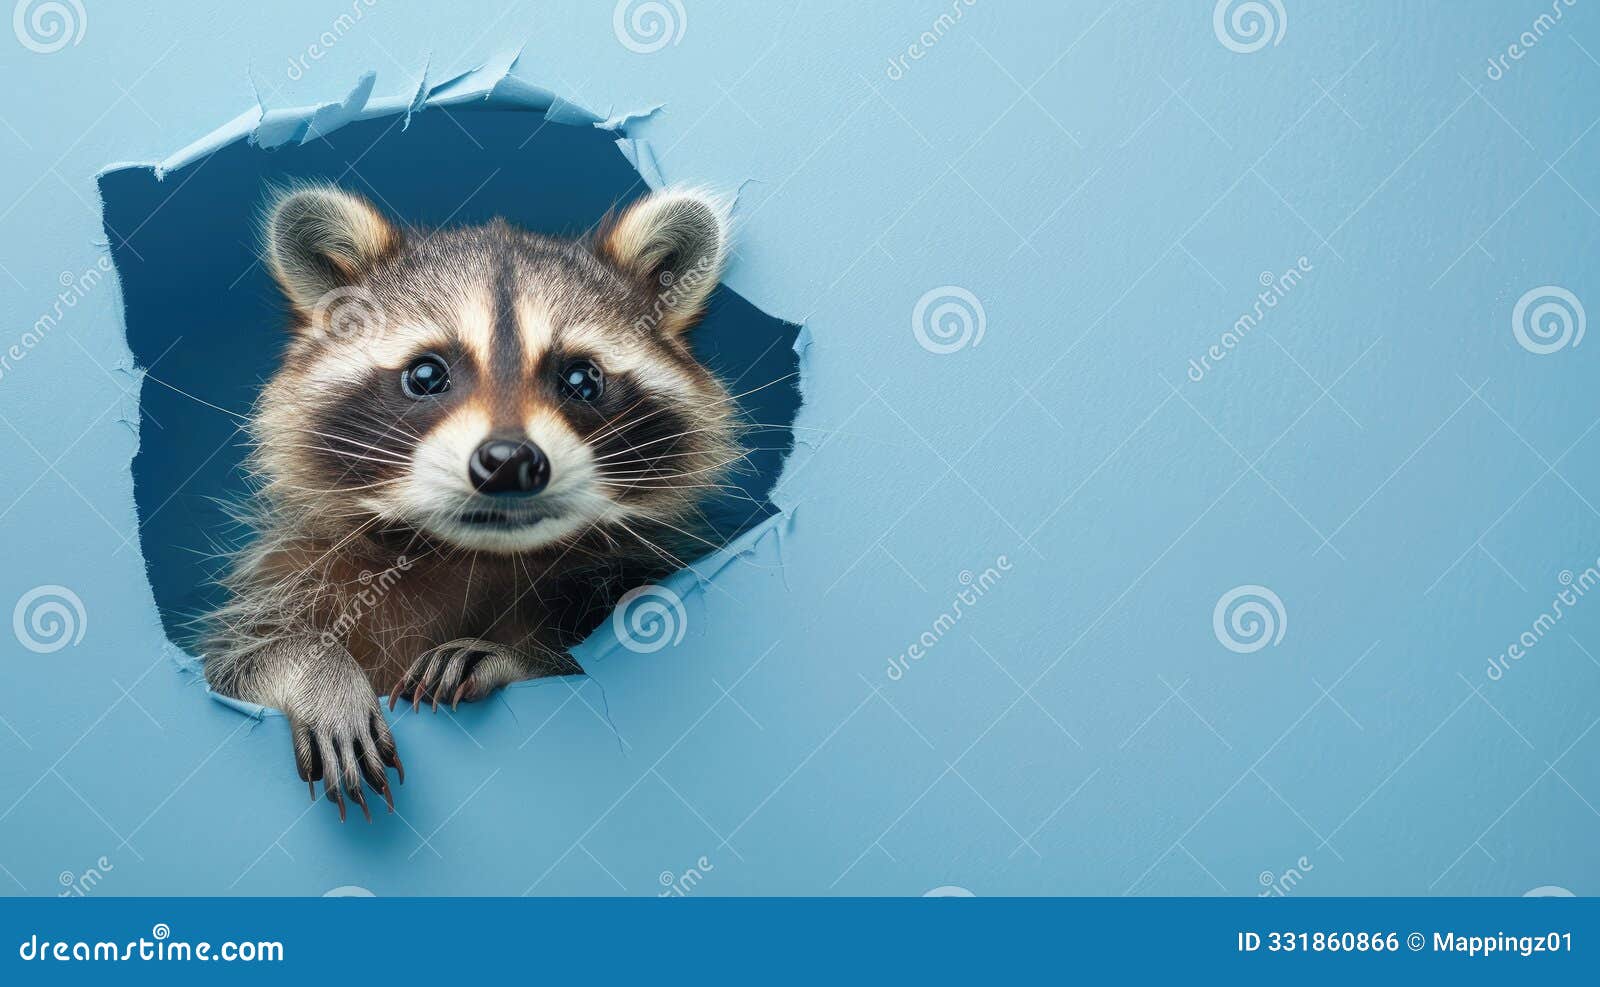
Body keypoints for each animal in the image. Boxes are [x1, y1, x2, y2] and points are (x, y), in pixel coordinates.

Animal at [201, 183, 742, 821]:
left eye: (581, 380)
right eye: (426, 374)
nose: (508, 460)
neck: (472, 554)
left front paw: (517, 655)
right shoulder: (293, 569)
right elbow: (238, 664)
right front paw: (315, 671)